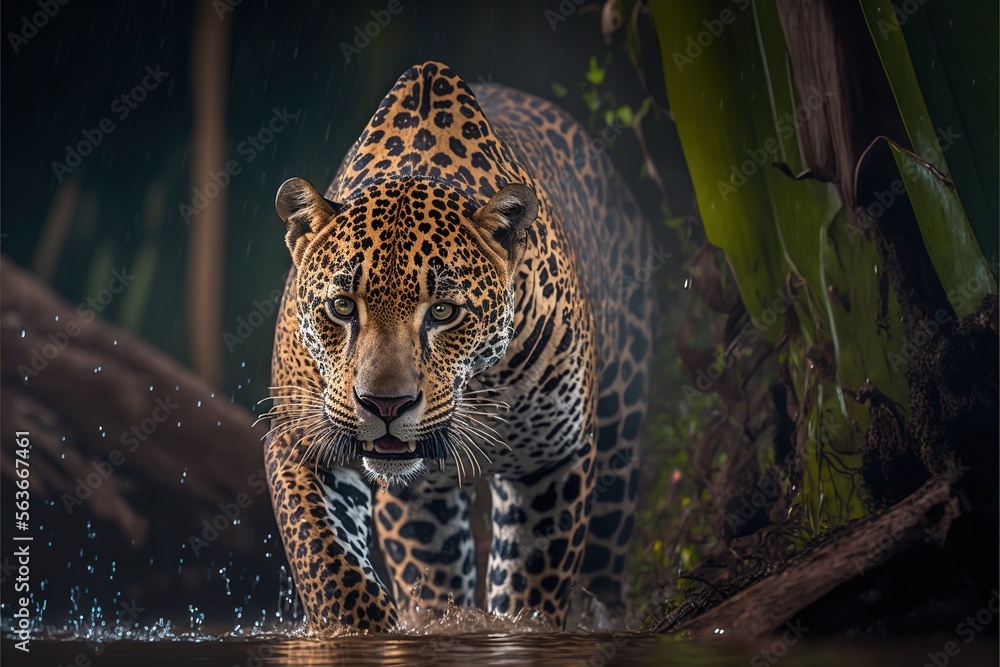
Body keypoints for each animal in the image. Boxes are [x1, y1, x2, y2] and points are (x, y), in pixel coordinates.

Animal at [263, 60, 655, 633]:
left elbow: (532, 594)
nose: (384, 406)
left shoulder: (554, 459)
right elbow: (329, 568)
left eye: (443, 312)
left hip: (621, 436)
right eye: (341, 306)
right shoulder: (300, 440)